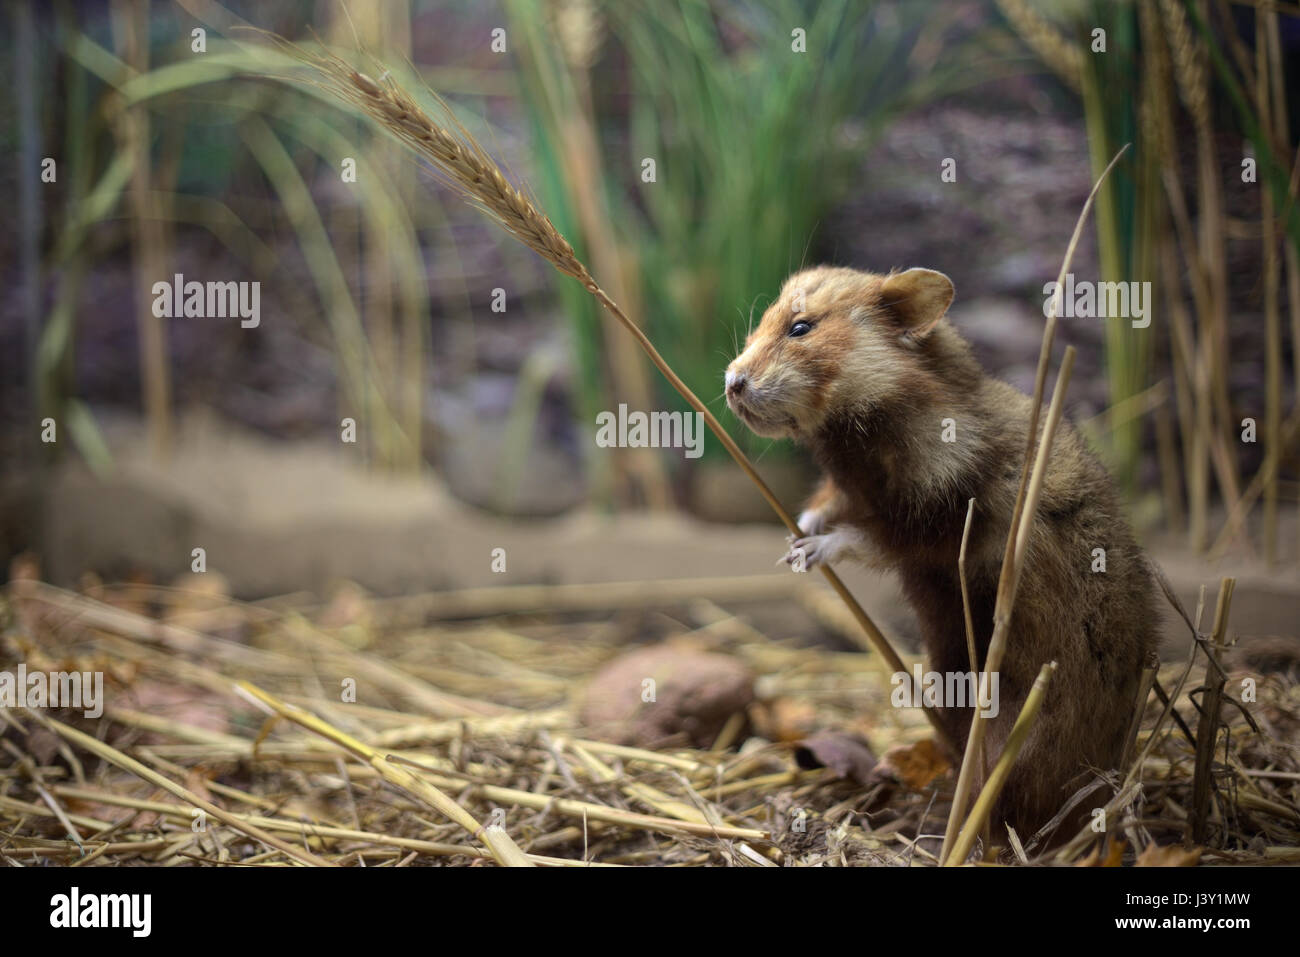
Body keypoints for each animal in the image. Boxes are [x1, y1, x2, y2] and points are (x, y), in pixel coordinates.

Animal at [724, 265, 1157, 839]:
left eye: (801, 328)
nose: (730, 384)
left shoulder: (937, 521)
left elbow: (867, 538)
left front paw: (811, 550)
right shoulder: (851, 489)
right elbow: (827, 502)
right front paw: (793, 540)